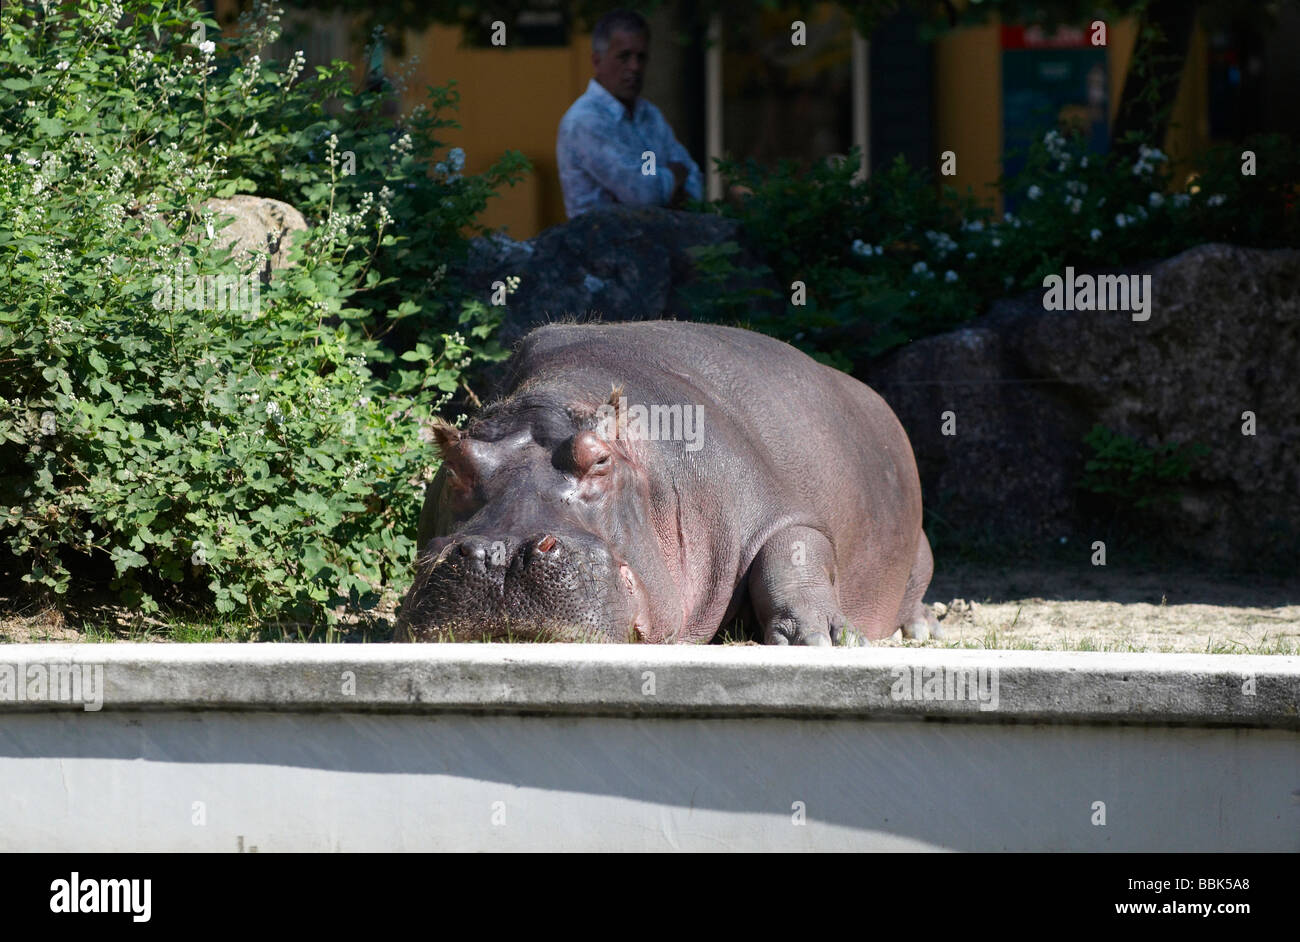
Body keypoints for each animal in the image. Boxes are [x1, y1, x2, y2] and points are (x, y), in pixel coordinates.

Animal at [394, 320, 940, 645]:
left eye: (599, 459)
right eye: (456, 462)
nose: (500, 555)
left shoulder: (769, 503)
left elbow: (794, 549)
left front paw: (824, 636)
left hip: (920, 550)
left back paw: (921, 629)